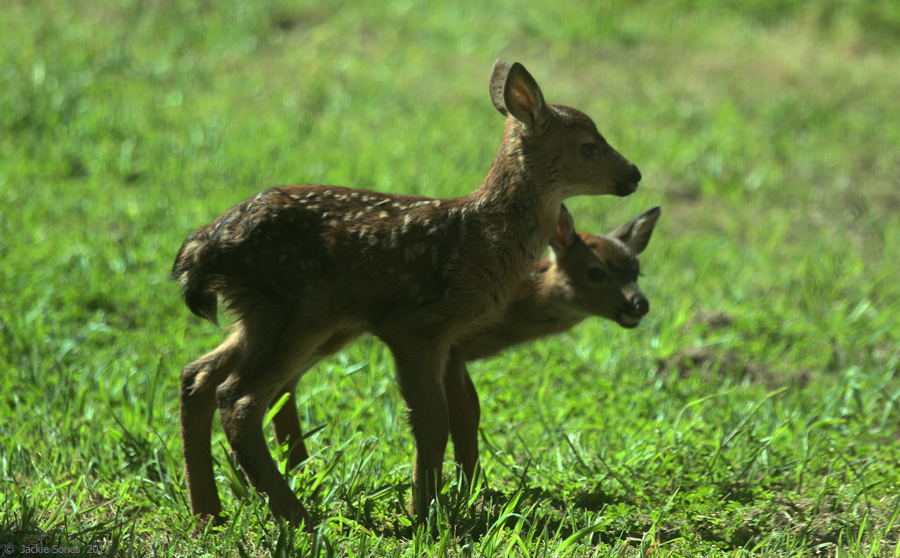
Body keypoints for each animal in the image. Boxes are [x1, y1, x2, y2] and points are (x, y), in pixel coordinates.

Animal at [172, 60, 642, 529]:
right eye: (588, 146)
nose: (634, 174)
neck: (482, 238)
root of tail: (202, 247)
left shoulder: (446, 337)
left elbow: (459, 414)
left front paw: (455, 501)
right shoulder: (417, 325)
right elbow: (433, 419)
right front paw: (425, 514)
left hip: (264, 317)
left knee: (198, 375)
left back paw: (207, 514)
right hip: (298, 312)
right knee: (239, 398)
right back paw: (298, 517)